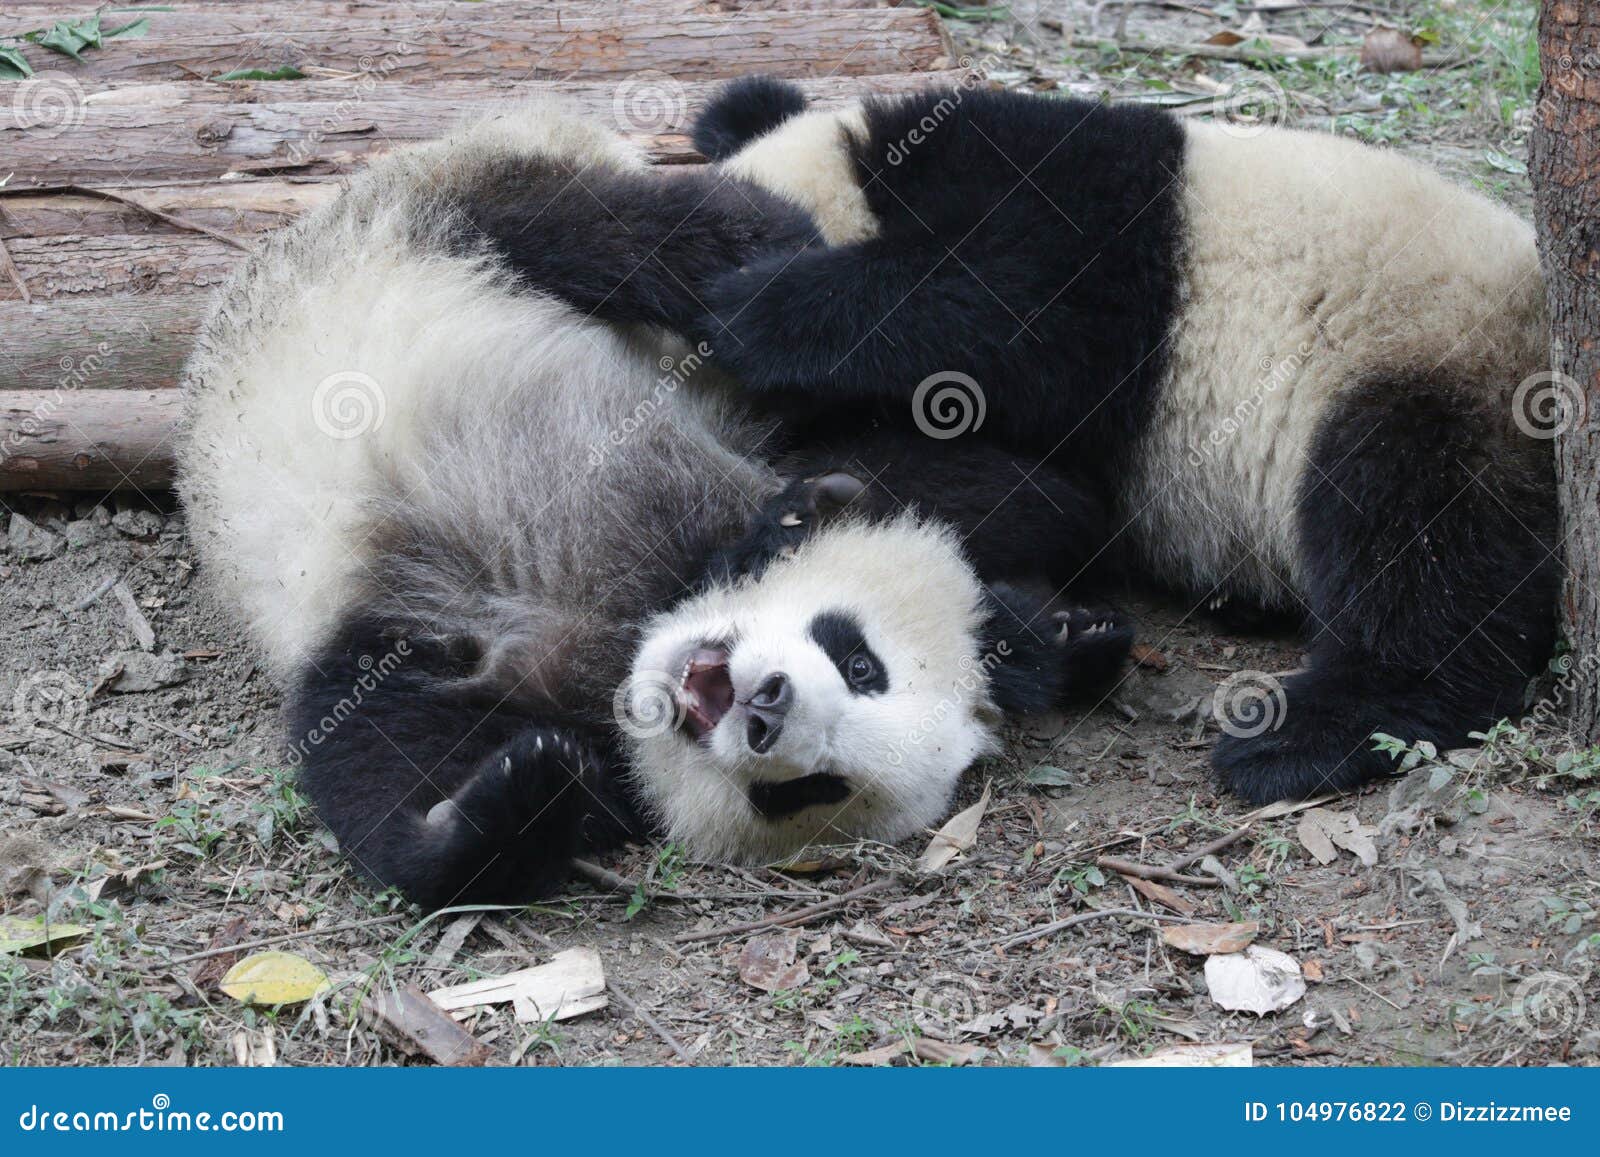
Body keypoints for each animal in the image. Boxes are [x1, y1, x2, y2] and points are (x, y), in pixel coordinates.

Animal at [177, 103, 1133, 908]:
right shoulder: (428, 584)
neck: (638, 626)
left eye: (812, 787)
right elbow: (363, 735)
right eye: (860, 659)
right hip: (430, 222)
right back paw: (756, 264)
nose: (766, 709)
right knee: (623, 230)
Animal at [689, 76, 1558, 805]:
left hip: (1440, 362)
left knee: (1418, 534)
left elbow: (1025, 301)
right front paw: (799, 518)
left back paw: (1308, 731)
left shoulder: (1080, 196)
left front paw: (757, 310)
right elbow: (1030, 497)